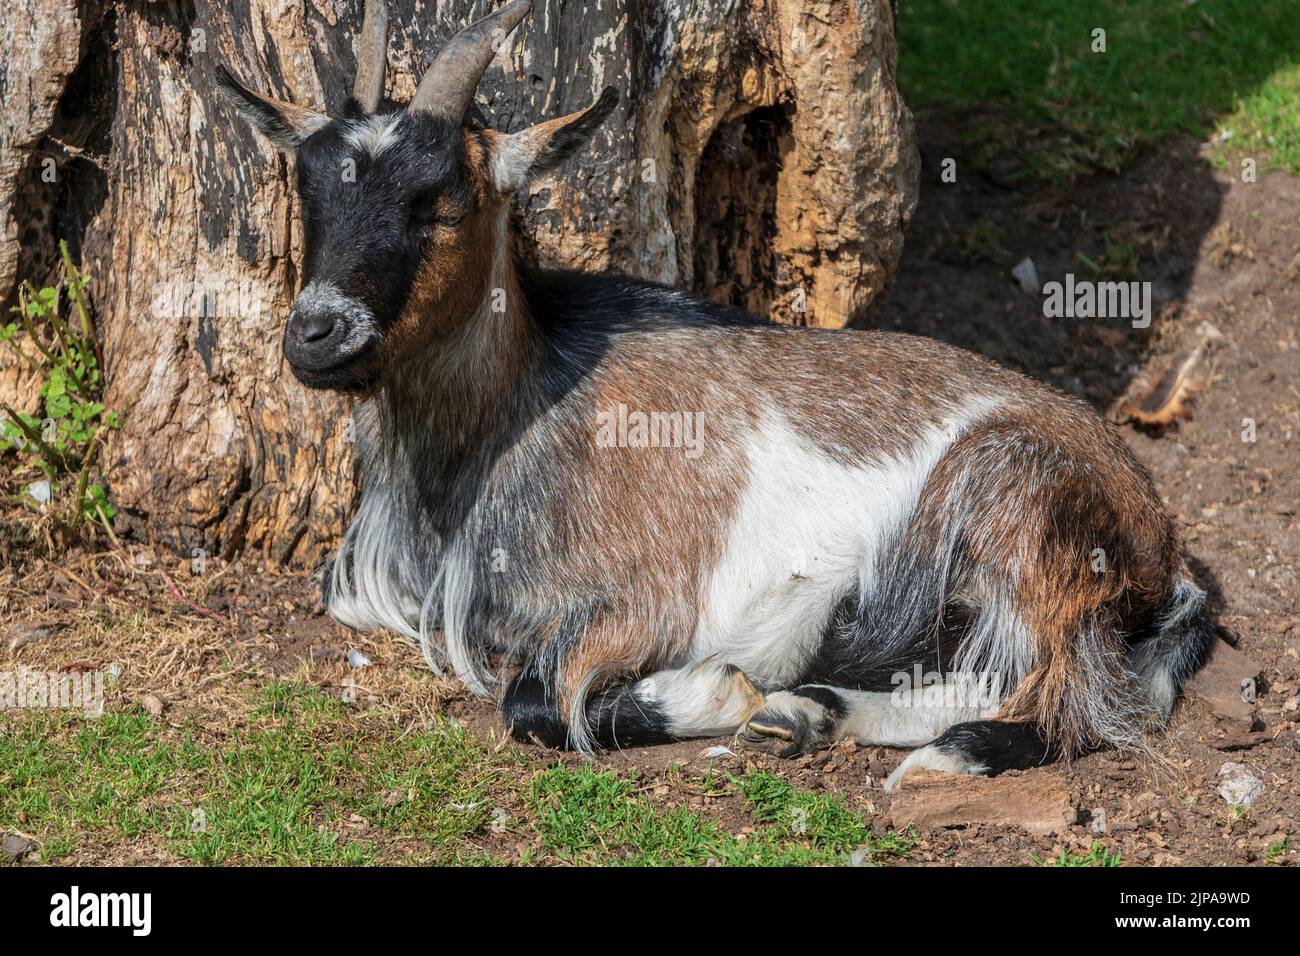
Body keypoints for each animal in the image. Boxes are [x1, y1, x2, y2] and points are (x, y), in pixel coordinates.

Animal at [217, 0, 1215, 787]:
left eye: (443, 202)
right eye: (308, 191)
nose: (317, 334)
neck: (518, 415)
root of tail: (1161, 539)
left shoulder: (639, 601)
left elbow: (533, 706)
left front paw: (711, 690)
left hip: (1010, 495)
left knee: (1071, 694)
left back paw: (923, 747)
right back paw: (810, 712)